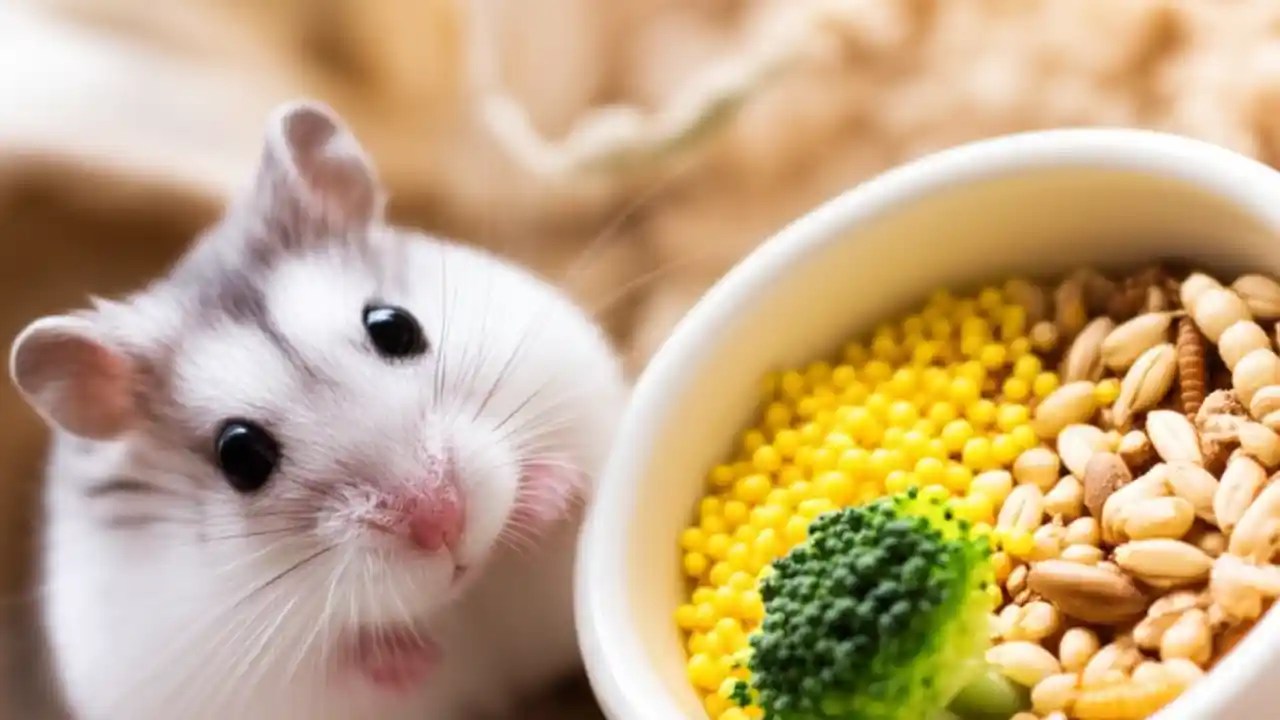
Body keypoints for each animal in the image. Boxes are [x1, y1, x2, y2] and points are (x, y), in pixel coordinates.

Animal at [8, 100, 627, 720]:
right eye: (240, 455)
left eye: (394, 327)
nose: (443, 521)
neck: (467, 588)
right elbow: (341, 664)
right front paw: (406, 656)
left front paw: (539, 501)